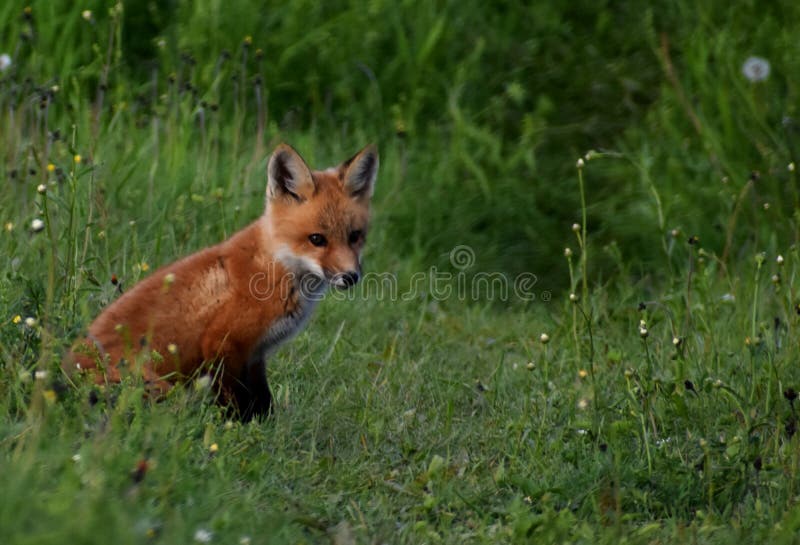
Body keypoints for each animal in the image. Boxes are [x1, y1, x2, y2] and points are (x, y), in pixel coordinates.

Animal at [64, 143, 379, 421]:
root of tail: (62, 375)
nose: (350, 277)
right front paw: (239, 432)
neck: (275, 267)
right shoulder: (222, 343)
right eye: (317, 239)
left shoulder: (255, 355)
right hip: (166, 390)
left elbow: (264, 404)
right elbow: (234, 405)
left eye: (355, 236)